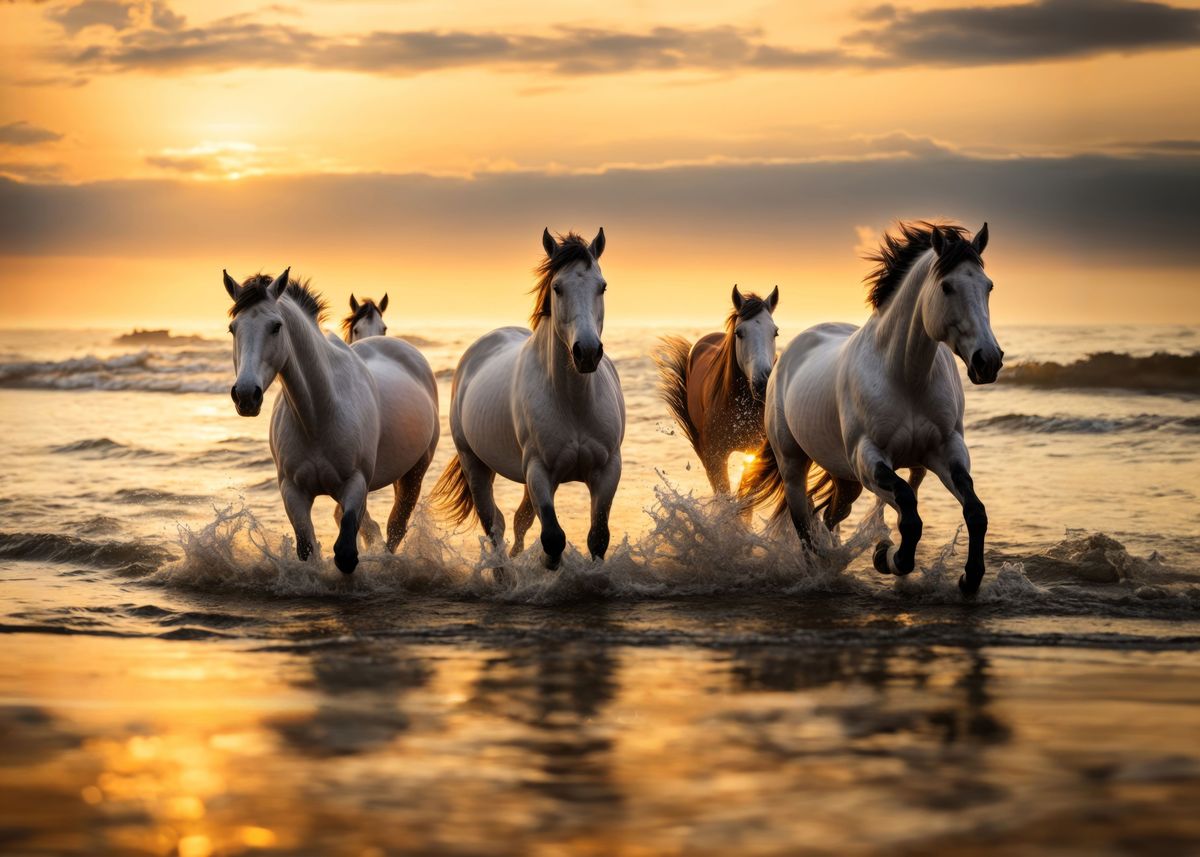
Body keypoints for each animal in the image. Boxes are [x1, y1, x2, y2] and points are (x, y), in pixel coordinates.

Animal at [223, 269, 439, 573]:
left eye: (276, 327)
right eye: (233, 328)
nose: (245, 395)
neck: (318, 414)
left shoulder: (355, 485)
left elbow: (346, 553)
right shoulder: (293, 491)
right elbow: (307, 548)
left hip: (415, 472)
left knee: (396, 527)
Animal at [430, 228, 625, 570]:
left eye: (602, 286)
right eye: (557, 288)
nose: (587, 352)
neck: (573, 402)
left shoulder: (607, 469)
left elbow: (598, 537)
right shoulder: (538, 471)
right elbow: (553, 538)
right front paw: (546, 567)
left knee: (518, 520)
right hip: (475, 466)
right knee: (494, 525)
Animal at [738, 222, 1003, 597]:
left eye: (988, 286)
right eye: (947, 286)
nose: (988, 360)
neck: (904, 376)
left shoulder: (945, 449)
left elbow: (974, 511)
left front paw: (970, 578)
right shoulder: (869, 458)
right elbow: (908, 511)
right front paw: (887, 556)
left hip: (845, 478)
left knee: (830, 516)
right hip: (793, 465)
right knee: (804, 524)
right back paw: (819, 574)